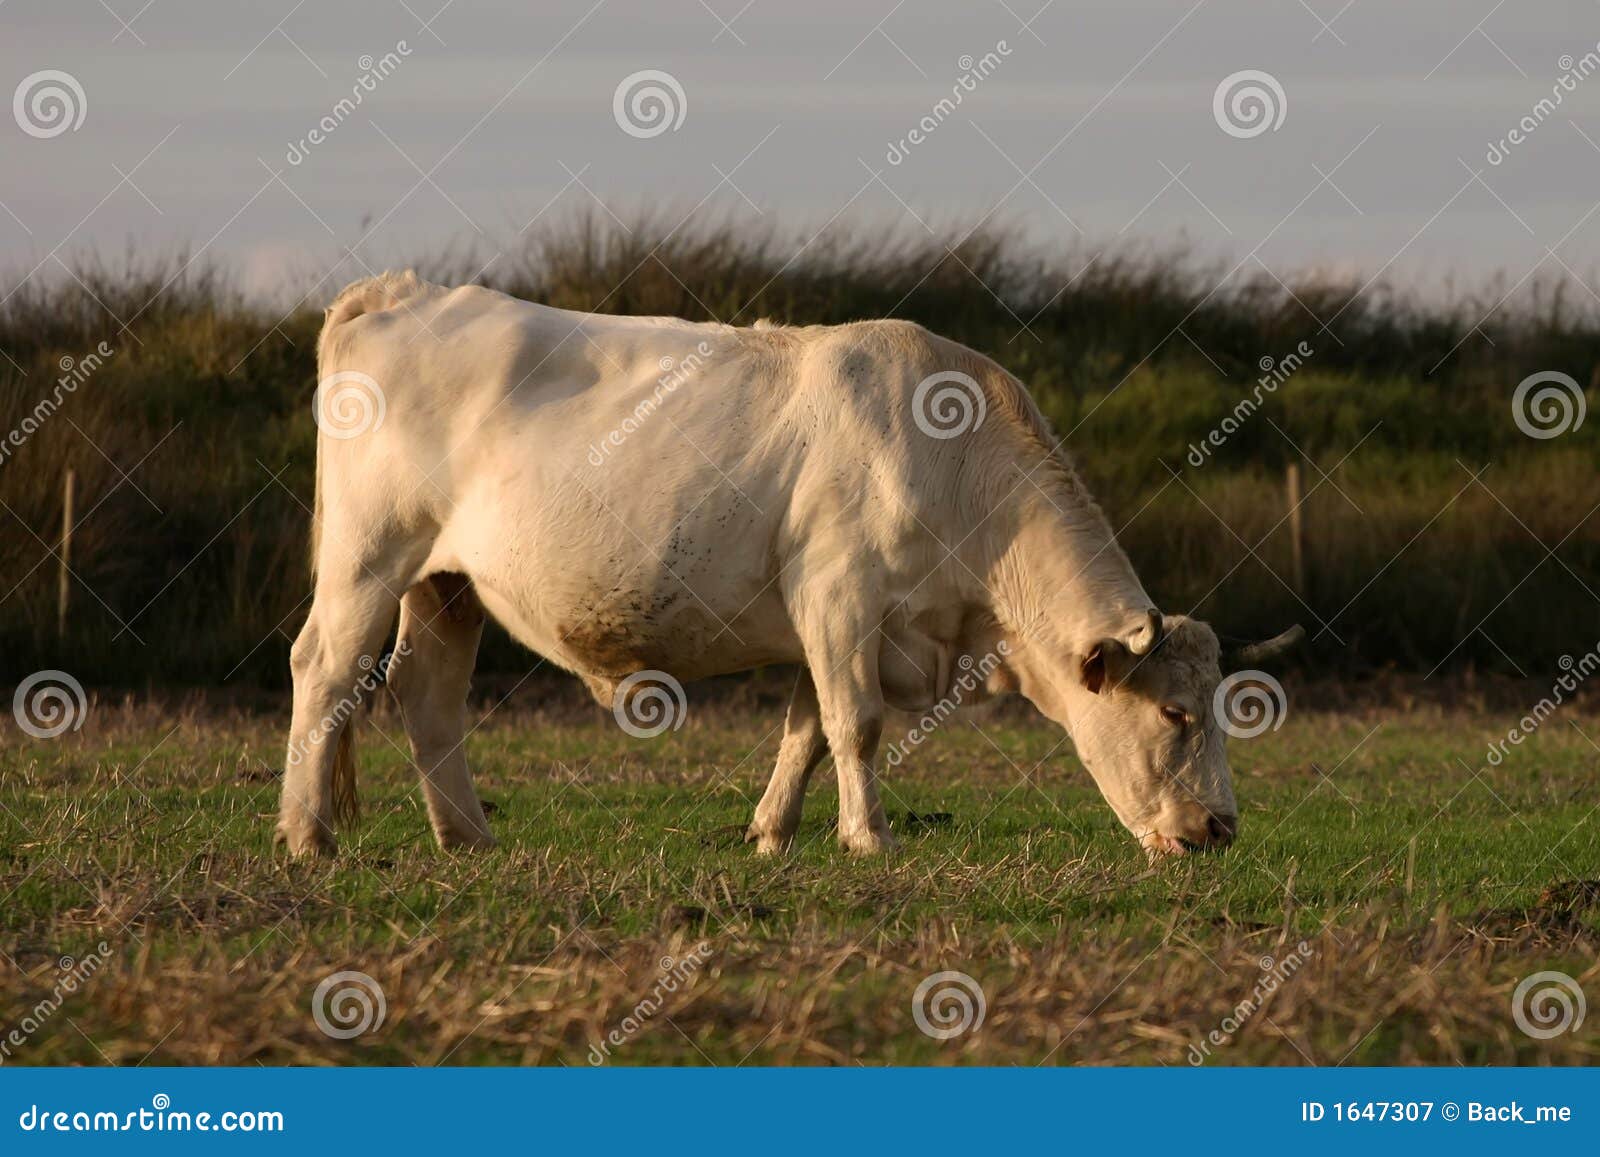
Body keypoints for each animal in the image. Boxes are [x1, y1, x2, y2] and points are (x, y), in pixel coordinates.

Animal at [277, 271, 1299, 860]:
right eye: (1174, 713)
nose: (1221, 829)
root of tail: (402, 291)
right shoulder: (839, 590)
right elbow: (857, 725)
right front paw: (869, 838)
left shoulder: (835, 617)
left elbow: (807, 730)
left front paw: (772, 835)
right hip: (369, 556)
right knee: (324, 670)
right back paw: (306, 835)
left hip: (445, 584)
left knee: (427, 697)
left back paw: (469, 838)